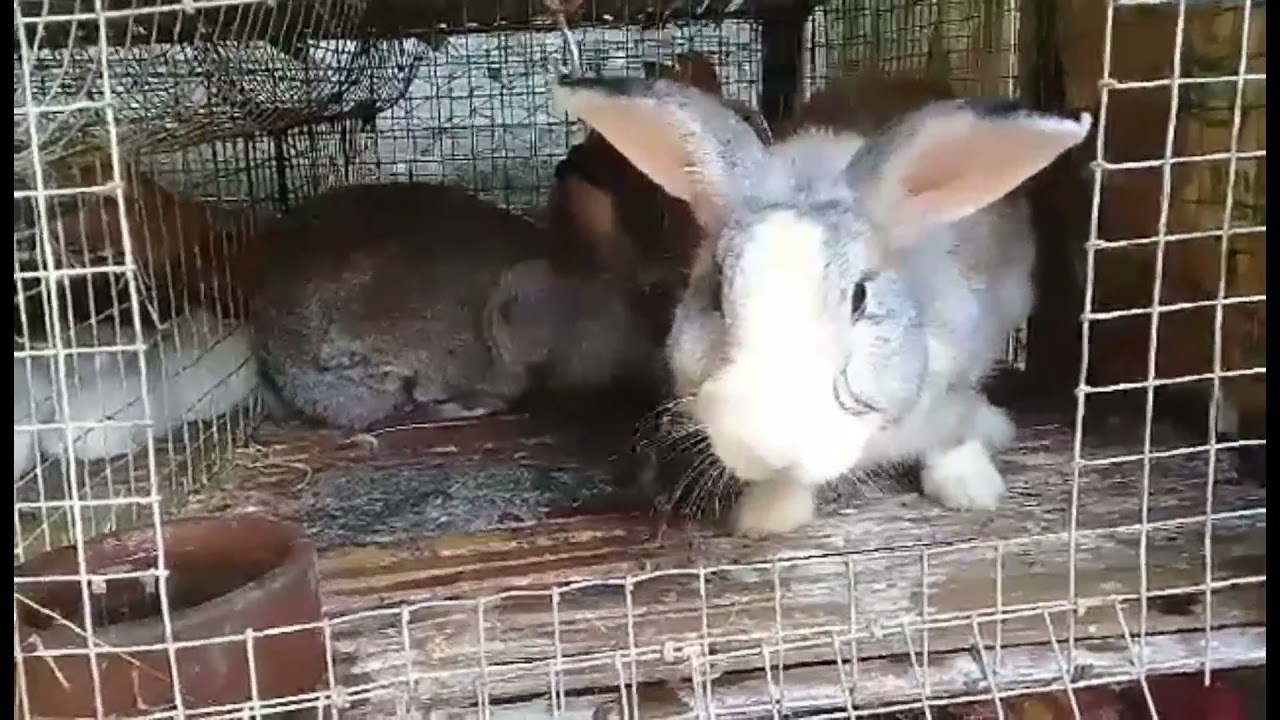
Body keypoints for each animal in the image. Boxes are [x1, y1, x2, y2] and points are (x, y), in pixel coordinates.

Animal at [552, 76, 1092, 536]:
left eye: (860, 298)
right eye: (714, 293)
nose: (765, 441)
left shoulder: (960, 364)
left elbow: (952, 431)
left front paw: (971, 490)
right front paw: (767, 515)